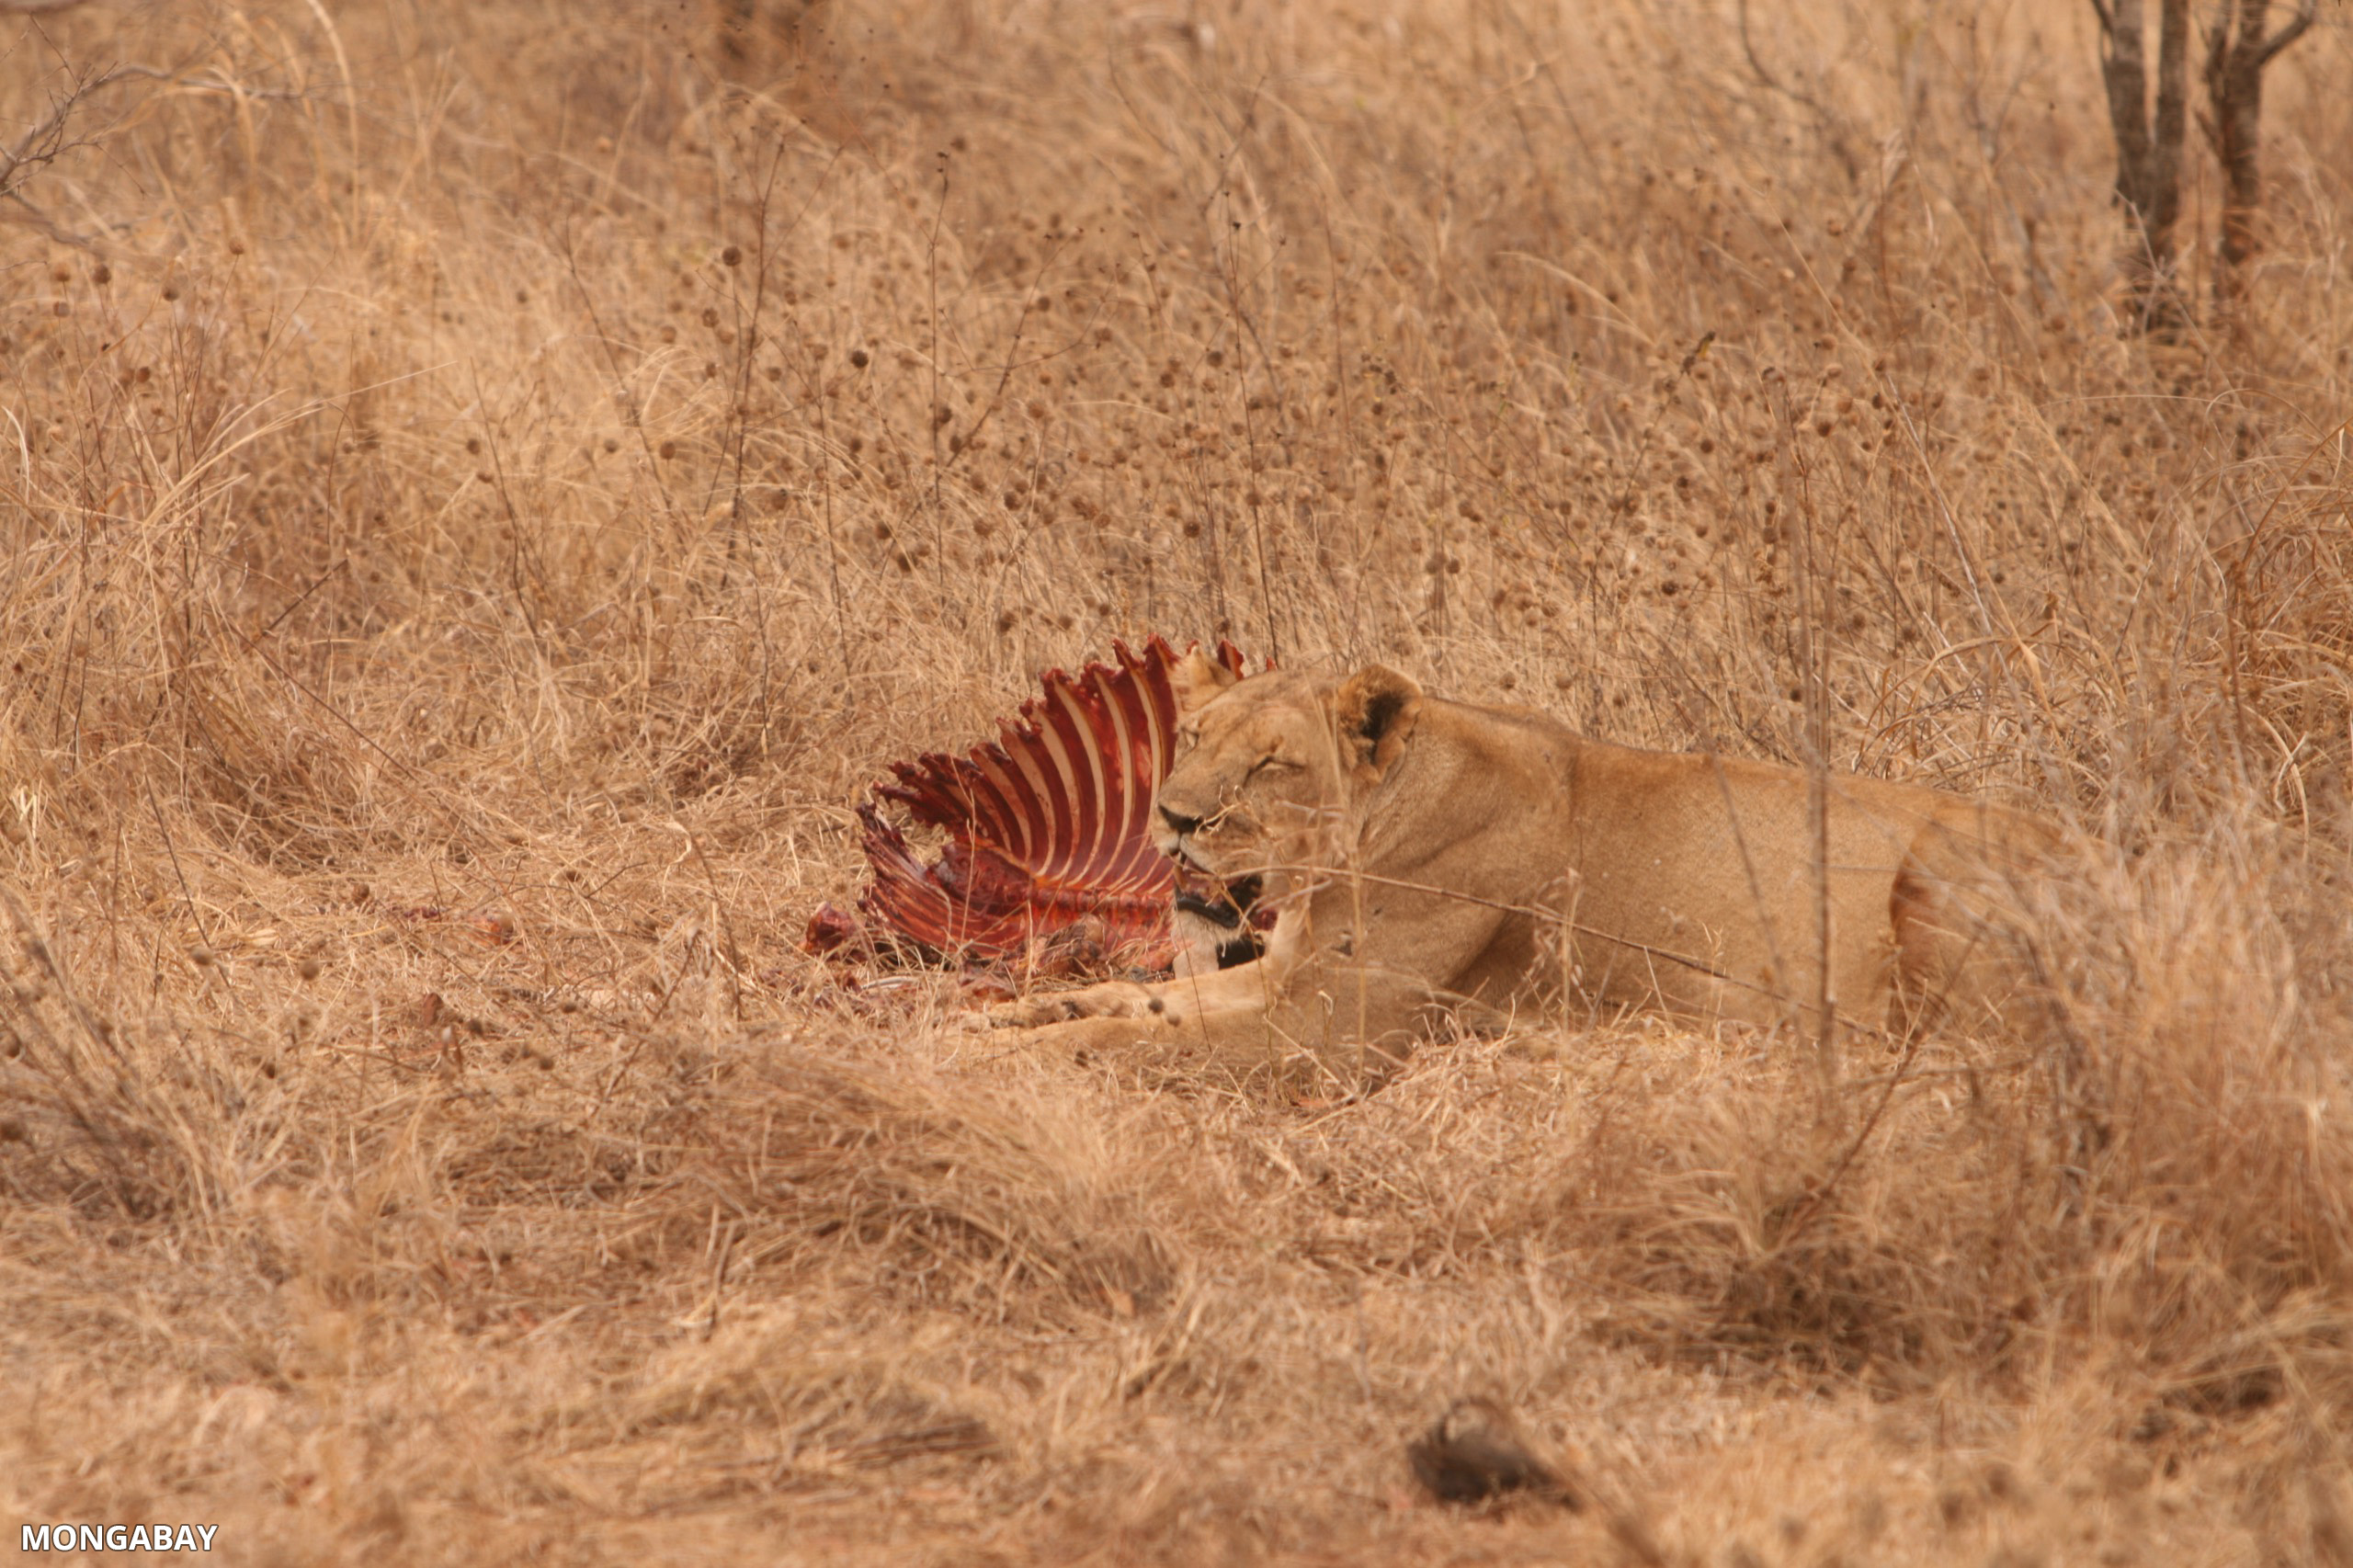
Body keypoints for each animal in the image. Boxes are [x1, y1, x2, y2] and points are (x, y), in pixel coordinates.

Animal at [986, 656, 2062, 1082]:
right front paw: (1012, 1015)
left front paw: (1012, 1056)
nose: (1171, 818)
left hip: (1937, 876)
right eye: (1194, 738)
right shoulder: (1290, 980)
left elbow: (1135, 1042)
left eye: (1271, 765)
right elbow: (1141, 1005)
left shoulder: (1329, 1036)